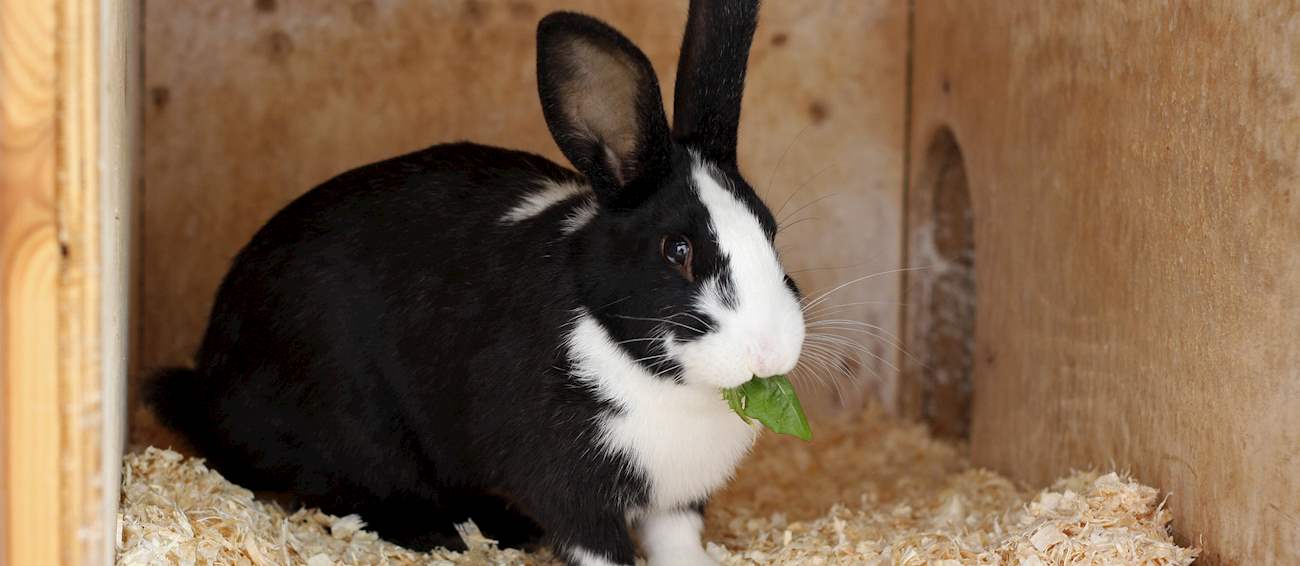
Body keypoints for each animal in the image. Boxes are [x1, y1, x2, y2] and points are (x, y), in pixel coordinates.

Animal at [145, 1, 805, 565]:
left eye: (771, 230)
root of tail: (209, 386)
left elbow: (677, 542)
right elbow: (597, 545)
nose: (769, 352)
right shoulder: (568, 486)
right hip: (355, 442)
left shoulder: (676, 499)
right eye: (678, 250)